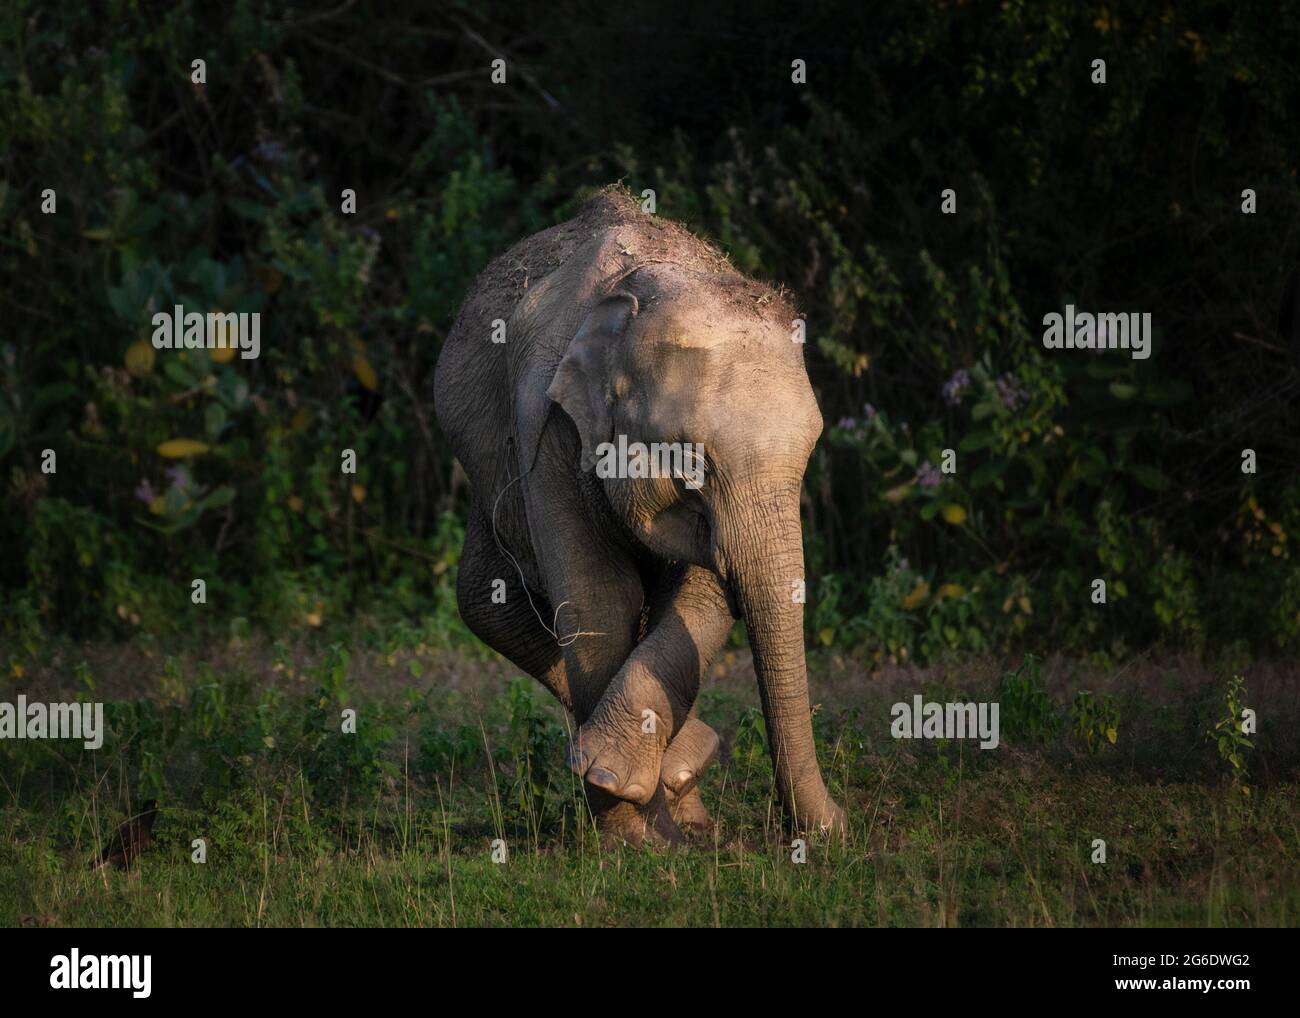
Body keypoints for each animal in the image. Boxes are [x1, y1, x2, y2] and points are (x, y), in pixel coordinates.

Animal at [433, 186, 844, 845]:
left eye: (807, 458)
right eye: (692, 466)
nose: (834, 829)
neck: (651, 290)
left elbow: (702, 591)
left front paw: (637, 806)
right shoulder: (550, 424)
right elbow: (600, 598)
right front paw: (635, 836)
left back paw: (684, 793)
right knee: (486, 602)